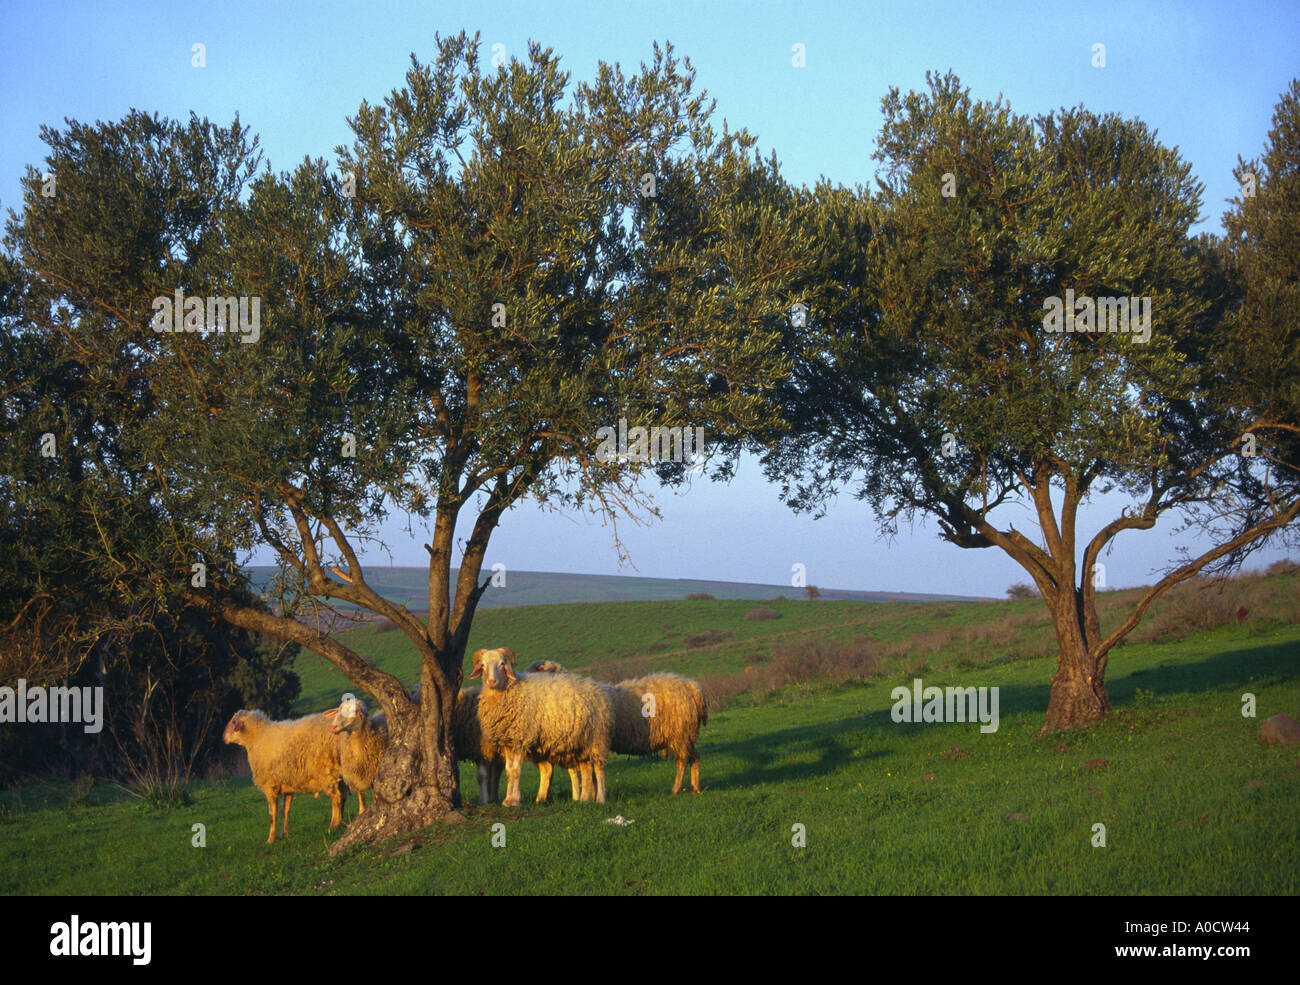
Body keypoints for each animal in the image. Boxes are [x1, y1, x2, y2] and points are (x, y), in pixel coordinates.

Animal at [222, 709, 347, 843]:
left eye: (233, 721)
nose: (223, 737)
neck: (257, 738)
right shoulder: (288, 786)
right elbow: (285, 810)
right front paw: (284, 834)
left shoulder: (269, 786)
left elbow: (272, 815)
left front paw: (271, 839)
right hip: (339, 773)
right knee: (342, 798)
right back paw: (341, 823)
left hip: (326, 771)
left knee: (336, 798)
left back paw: (333, 825)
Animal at [471, 647, 613, 806]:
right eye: (483, 665)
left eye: (502, 664)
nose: (491, 681)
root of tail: (598, 688)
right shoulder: (508, 742)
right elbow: (509, 771)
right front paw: (507, 800)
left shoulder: (521, 739)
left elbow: (516, 771)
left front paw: (514, 800)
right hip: (581, 743)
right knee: (586, 769)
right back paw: (584, 799)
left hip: (597, 739)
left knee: (599, 769)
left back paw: (600, 799)